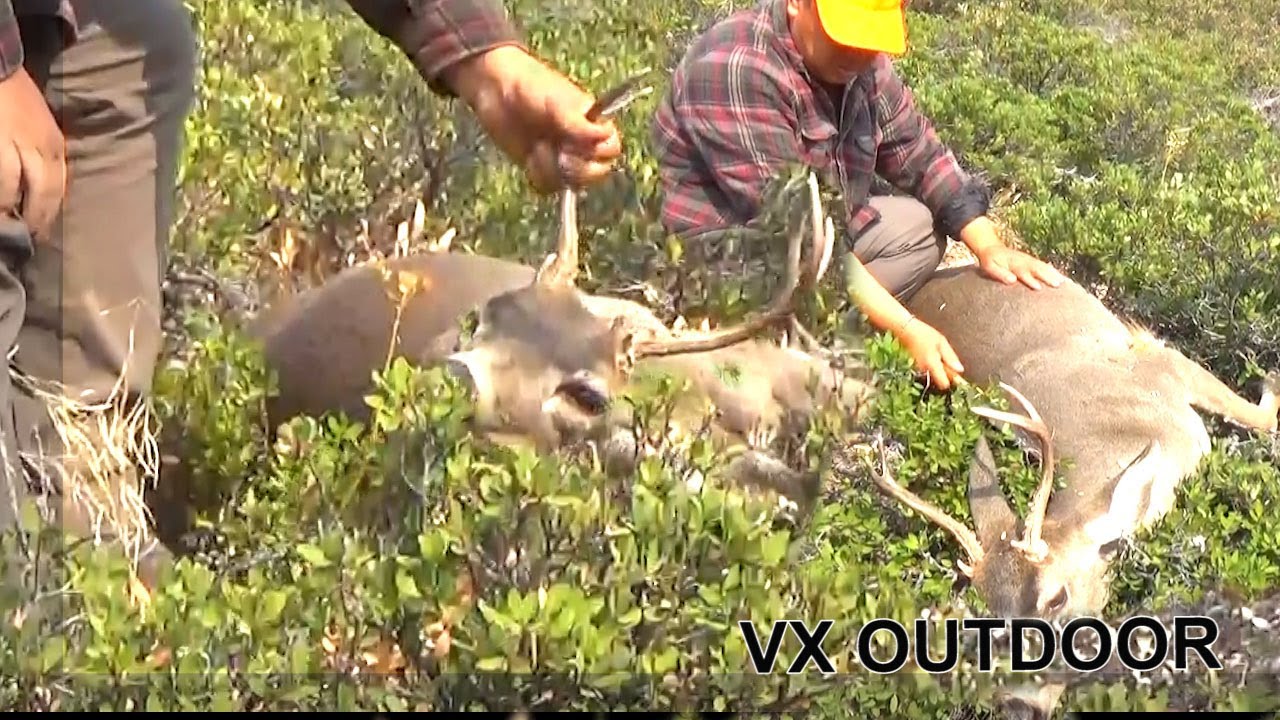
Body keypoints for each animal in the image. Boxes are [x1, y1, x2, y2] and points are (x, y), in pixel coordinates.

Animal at [856, 261, 1279, 719]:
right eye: (986, 618)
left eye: (1056, 598)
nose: (1018, 703)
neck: (1124, 439)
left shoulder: (1160, 364)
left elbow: (1262, 416)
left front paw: (1270, 377)